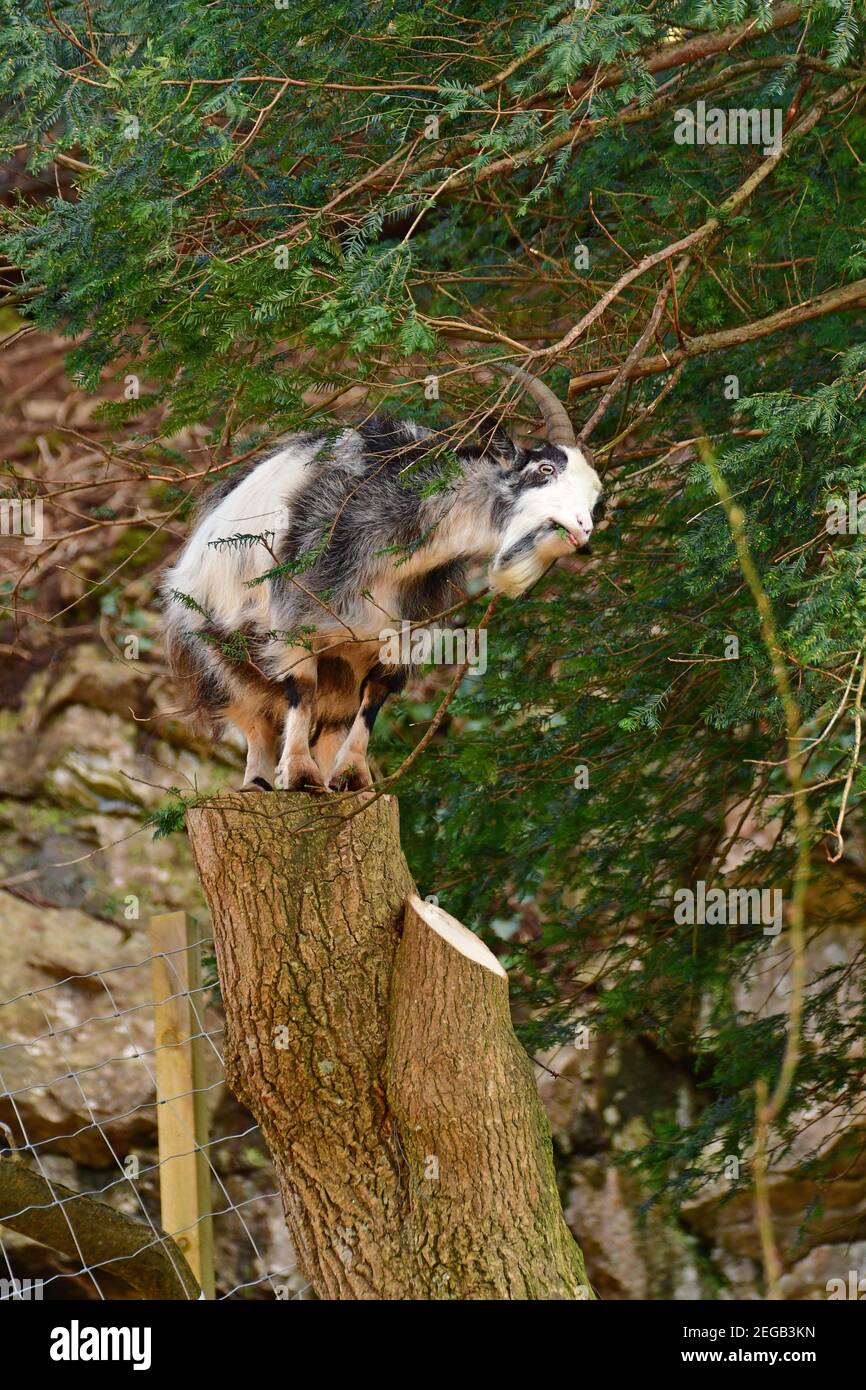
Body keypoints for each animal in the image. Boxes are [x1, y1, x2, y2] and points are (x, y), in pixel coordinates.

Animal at [160, 367, 604, 792]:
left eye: (595, 490)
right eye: (544, 469)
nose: (584, 528)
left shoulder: (401, 636)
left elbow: (372, 700)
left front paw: (353, 777)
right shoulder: (294, 624)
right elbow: (301, 689)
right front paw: (299, 774)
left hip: (341, 661)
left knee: (333, 717)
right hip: (215, 650)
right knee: (253, 715)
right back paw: (258, 783)